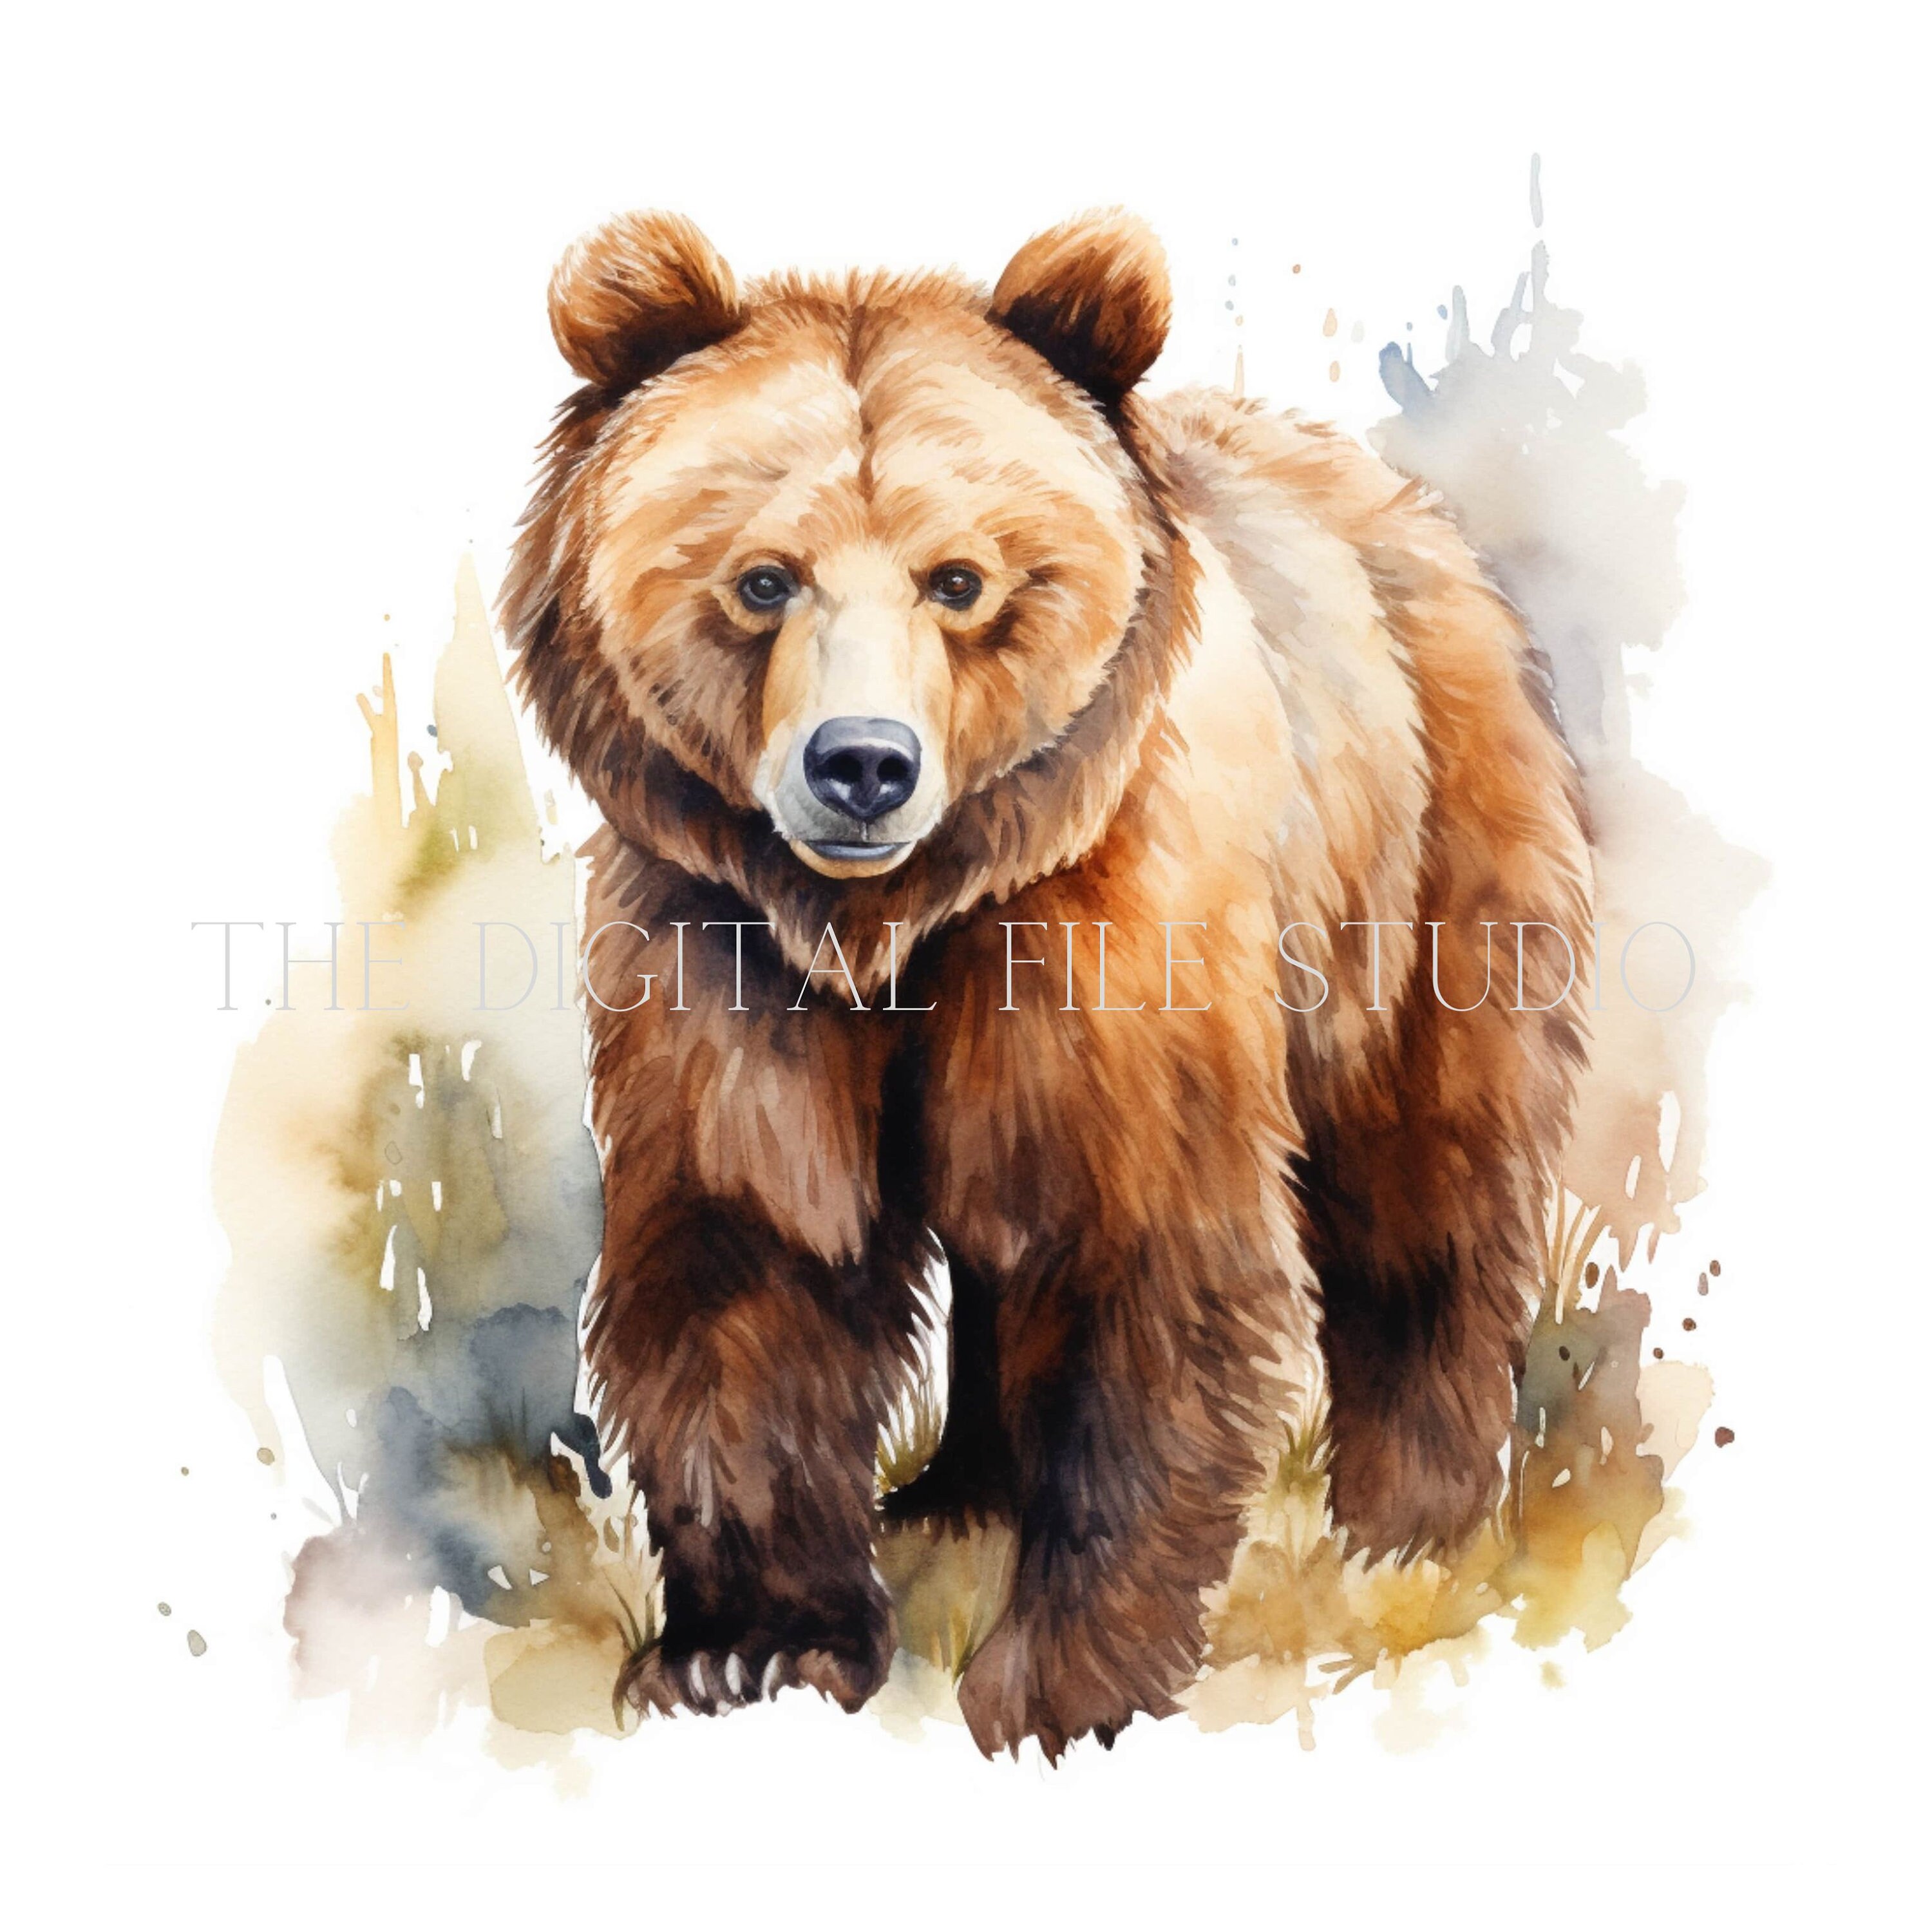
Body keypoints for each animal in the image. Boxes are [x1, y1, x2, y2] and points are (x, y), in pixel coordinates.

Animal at [502, 208, 1592, 1758]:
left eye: (960, 579)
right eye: (765, 577)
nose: (862, 763)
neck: (899, 921)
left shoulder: (1111, 927)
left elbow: (1146, 1254)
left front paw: (1058, 1685)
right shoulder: (721, 948)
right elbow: (752, 1243)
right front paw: (748, 1650)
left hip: (1423, 846)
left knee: (1425, 1174)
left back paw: (1406, 1526)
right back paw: (957, 1497)